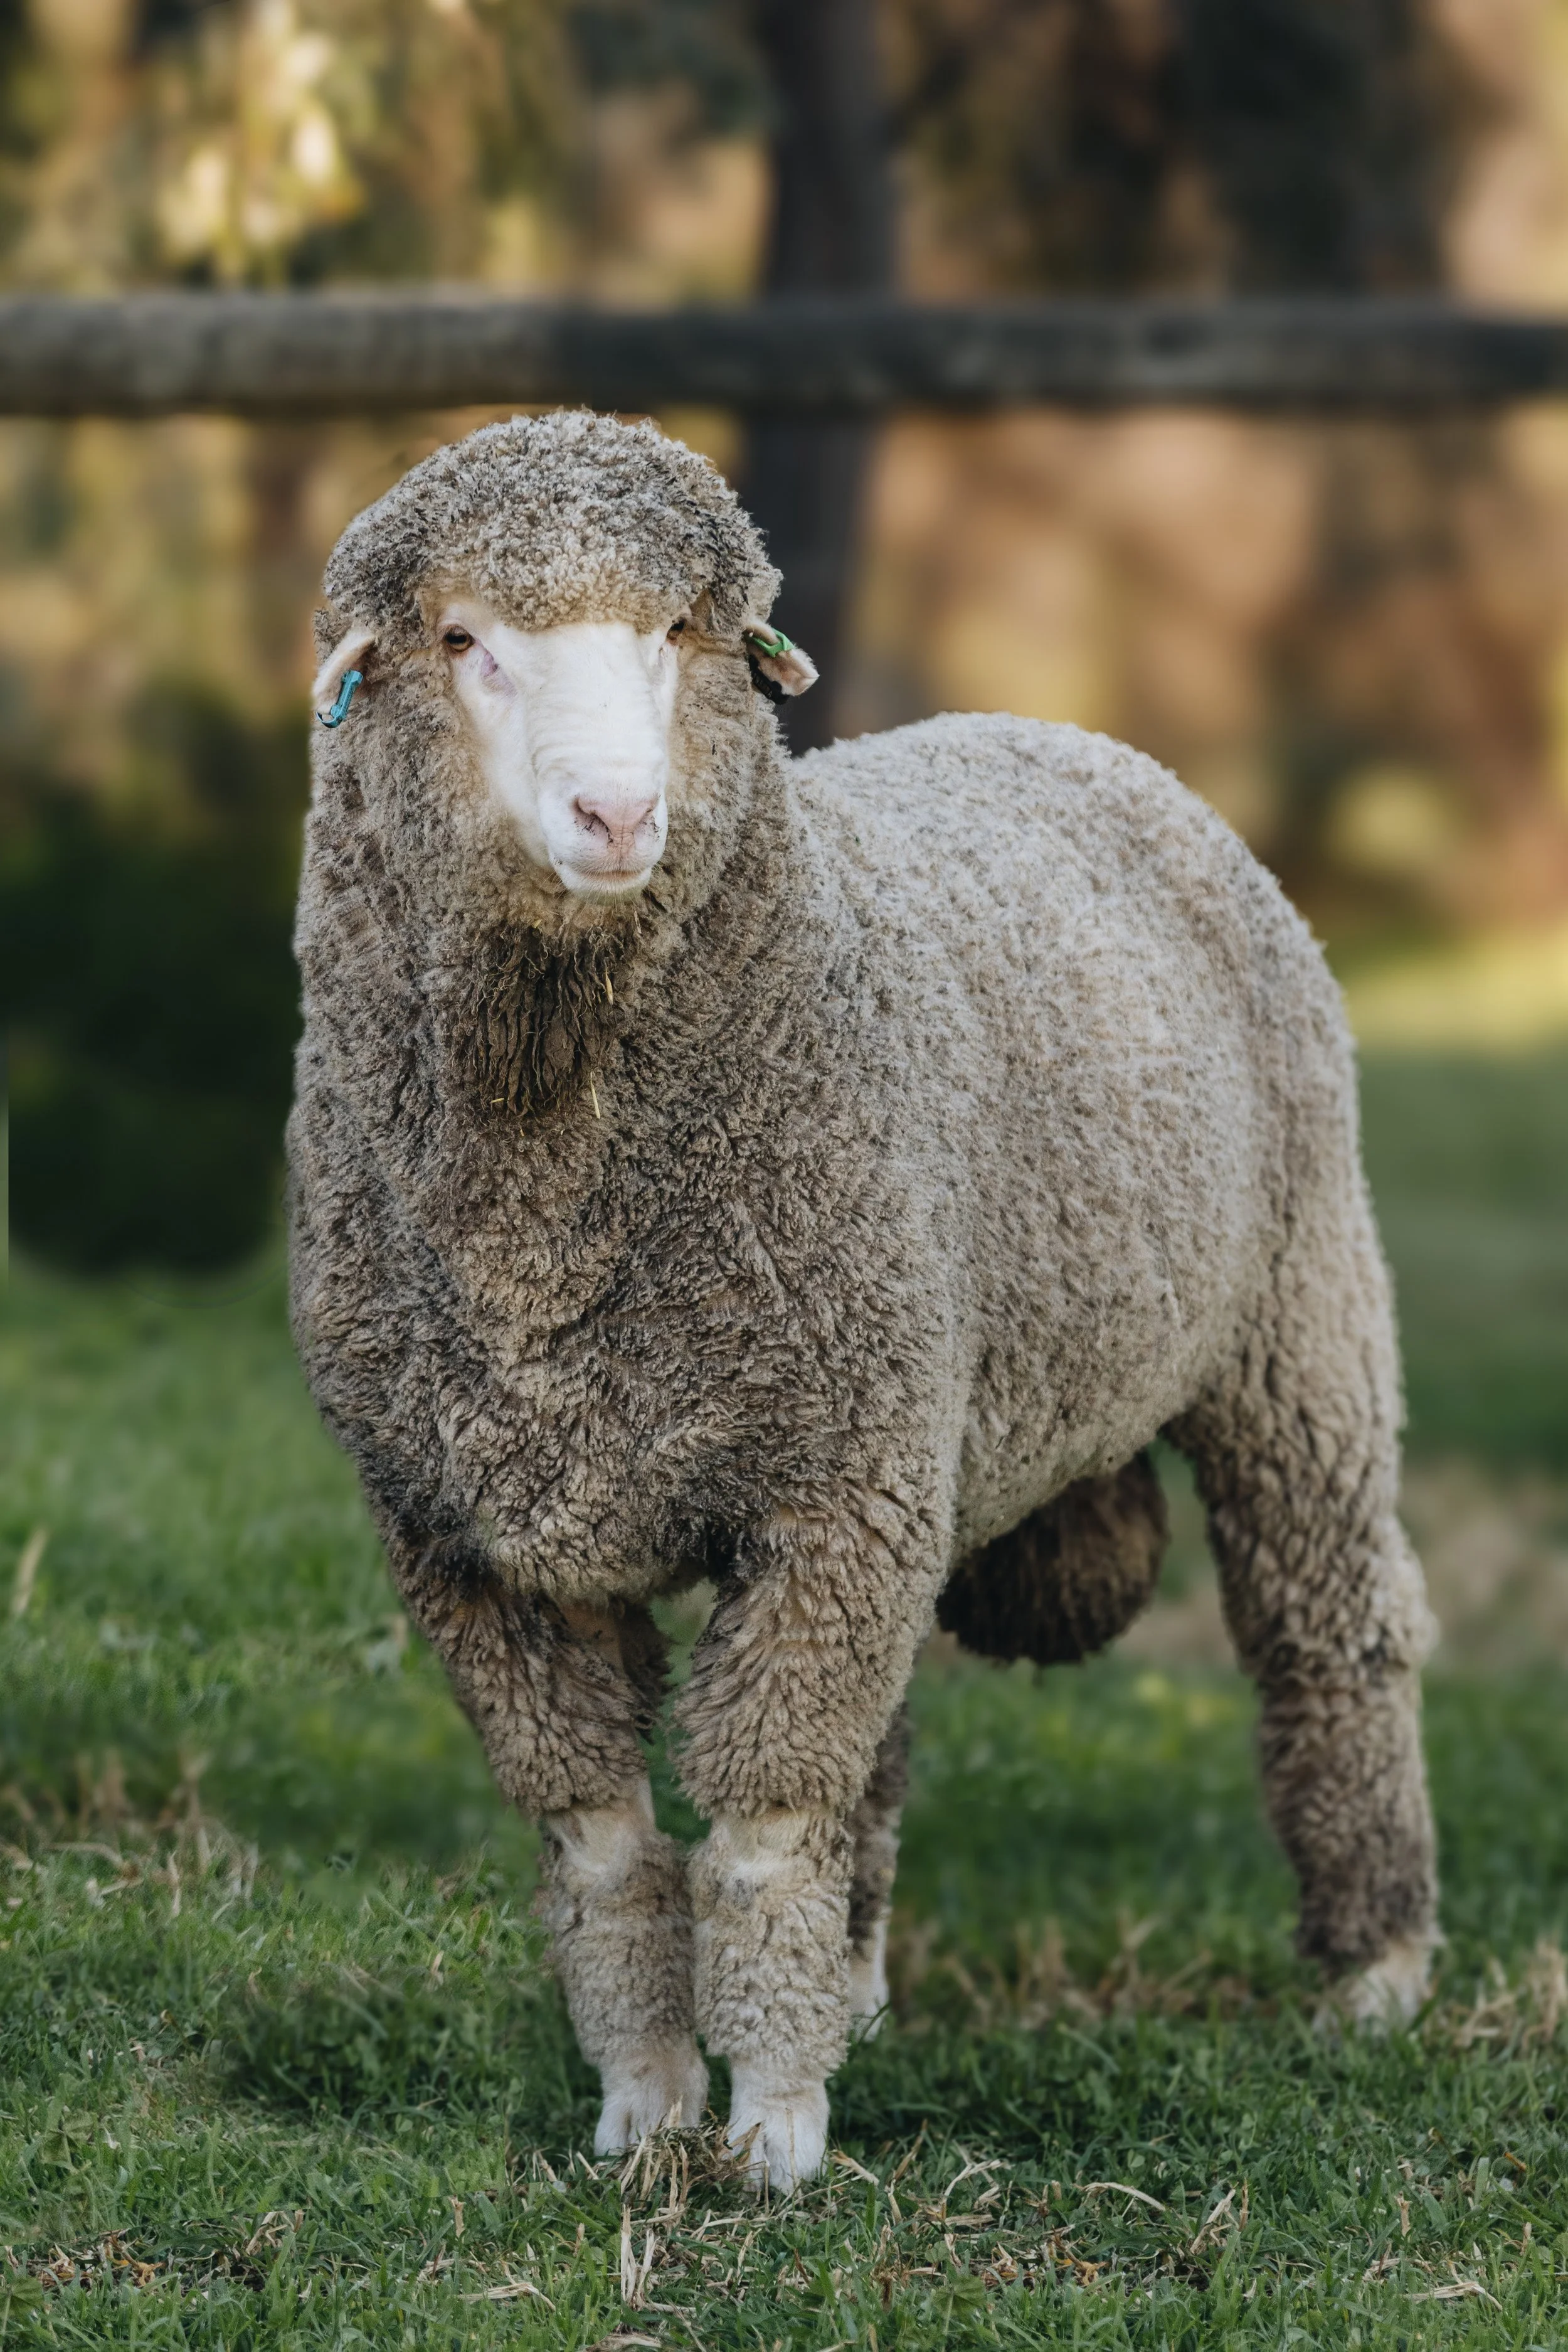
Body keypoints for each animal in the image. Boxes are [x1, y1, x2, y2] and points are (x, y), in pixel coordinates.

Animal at [288, 409, 1439, 2192]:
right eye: (462, 641)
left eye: (679, 634)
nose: (617, 812)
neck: (547, 1197)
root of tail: (1052, 728)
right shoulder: (469, 1535)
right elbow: (602, 1837)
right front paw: (648, 2103)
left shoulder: (831, 1493)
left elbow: (765, 1822)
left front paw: (770, 2134)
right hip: (933, 1423)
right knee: (884, 1750)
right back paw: (862, 1989)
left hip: (1296, 1320)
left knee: (1331, 1629)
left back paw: (1374, 1971)